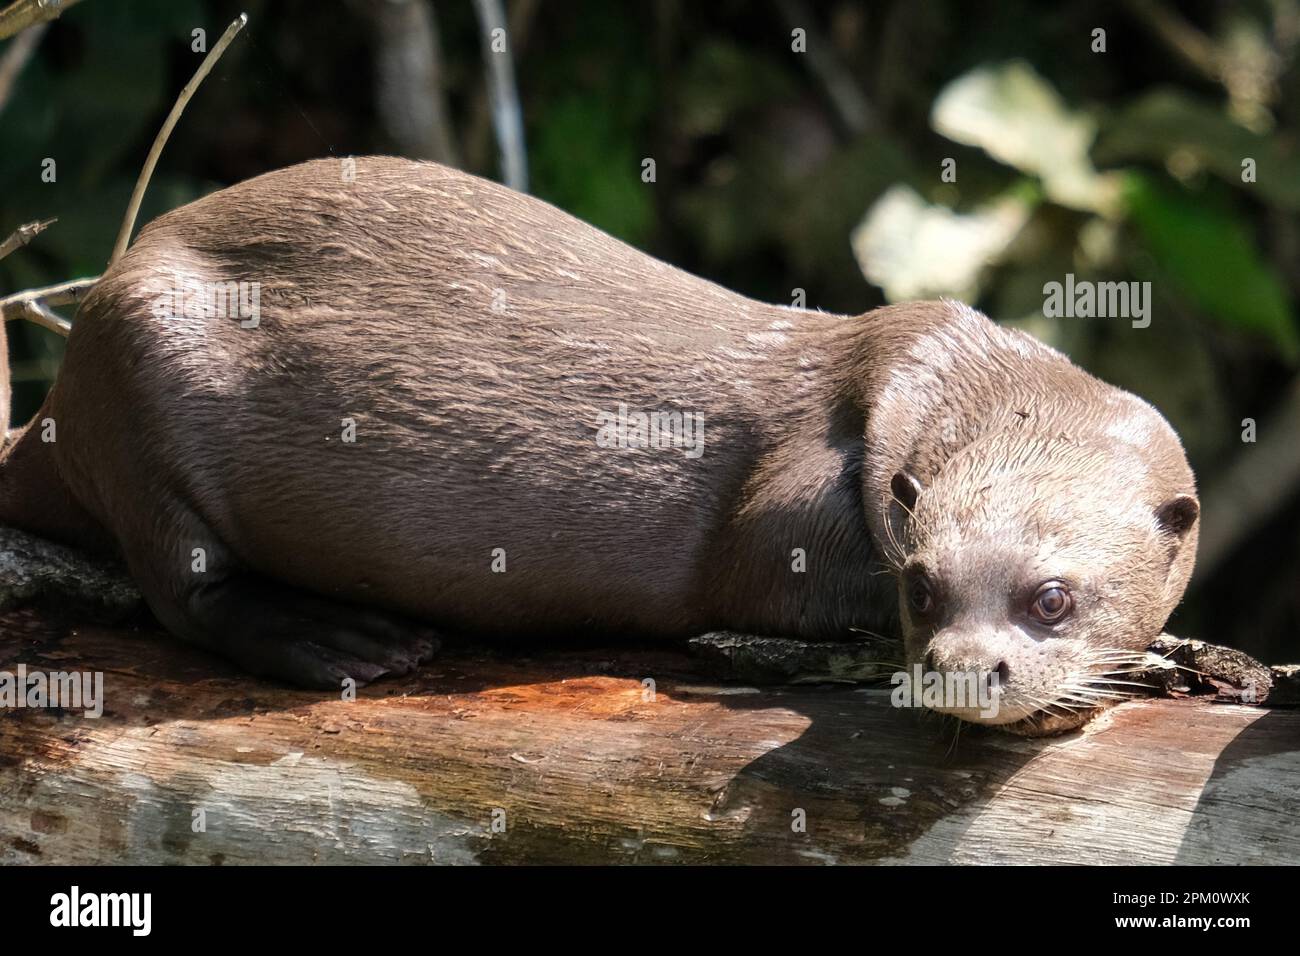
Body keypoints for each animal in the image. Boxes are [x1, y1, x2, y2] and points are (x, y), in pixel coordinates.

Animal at [0, 157, 1199, 734]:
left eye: (1051, 596)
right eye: (920, 585)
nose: (956, 672)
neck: (939, 373)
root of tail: (53, 398)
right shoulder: (796, 500)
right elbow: (760, 568)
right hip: (138, 354)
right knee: (179, 583)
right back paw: (337, 640)